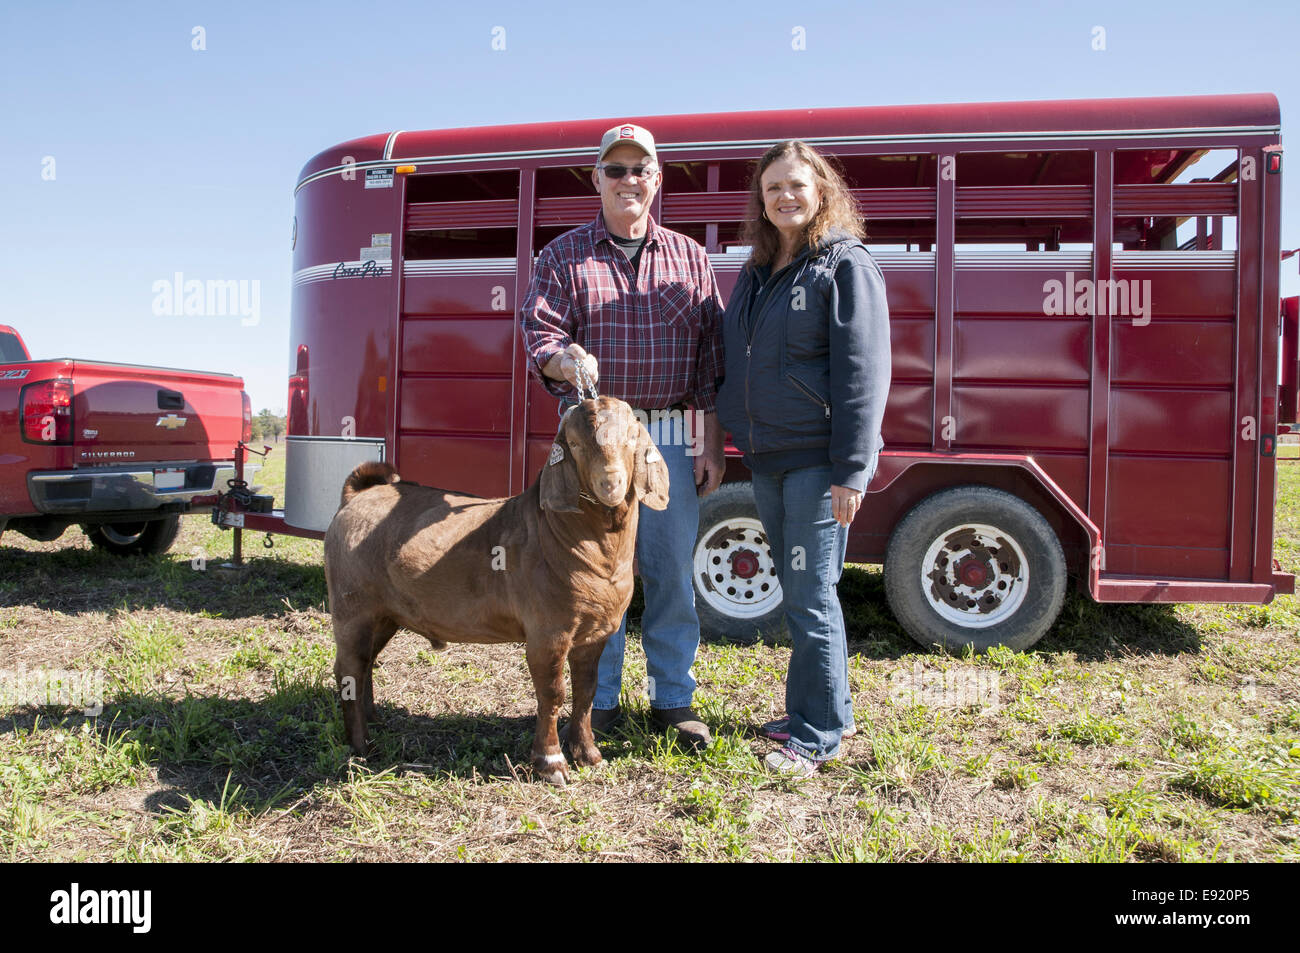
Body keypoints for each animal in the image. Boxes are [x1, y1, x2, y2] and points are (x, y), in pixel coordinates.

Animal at [323, 397, 670, 784]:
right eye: (575, 444)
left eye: (631, 437)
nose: (610, 482)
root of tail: (359, 495)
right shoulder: (547, 632)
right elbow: (552, 694)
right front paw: (552, 763)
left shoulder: (595, 634)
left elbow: (586, 692)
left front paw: (589, 755)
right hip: (352, 605)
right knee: (348, 668)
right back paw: (361, 747)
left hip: (386, 613)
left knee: (366, 662)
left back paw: (374, 719)